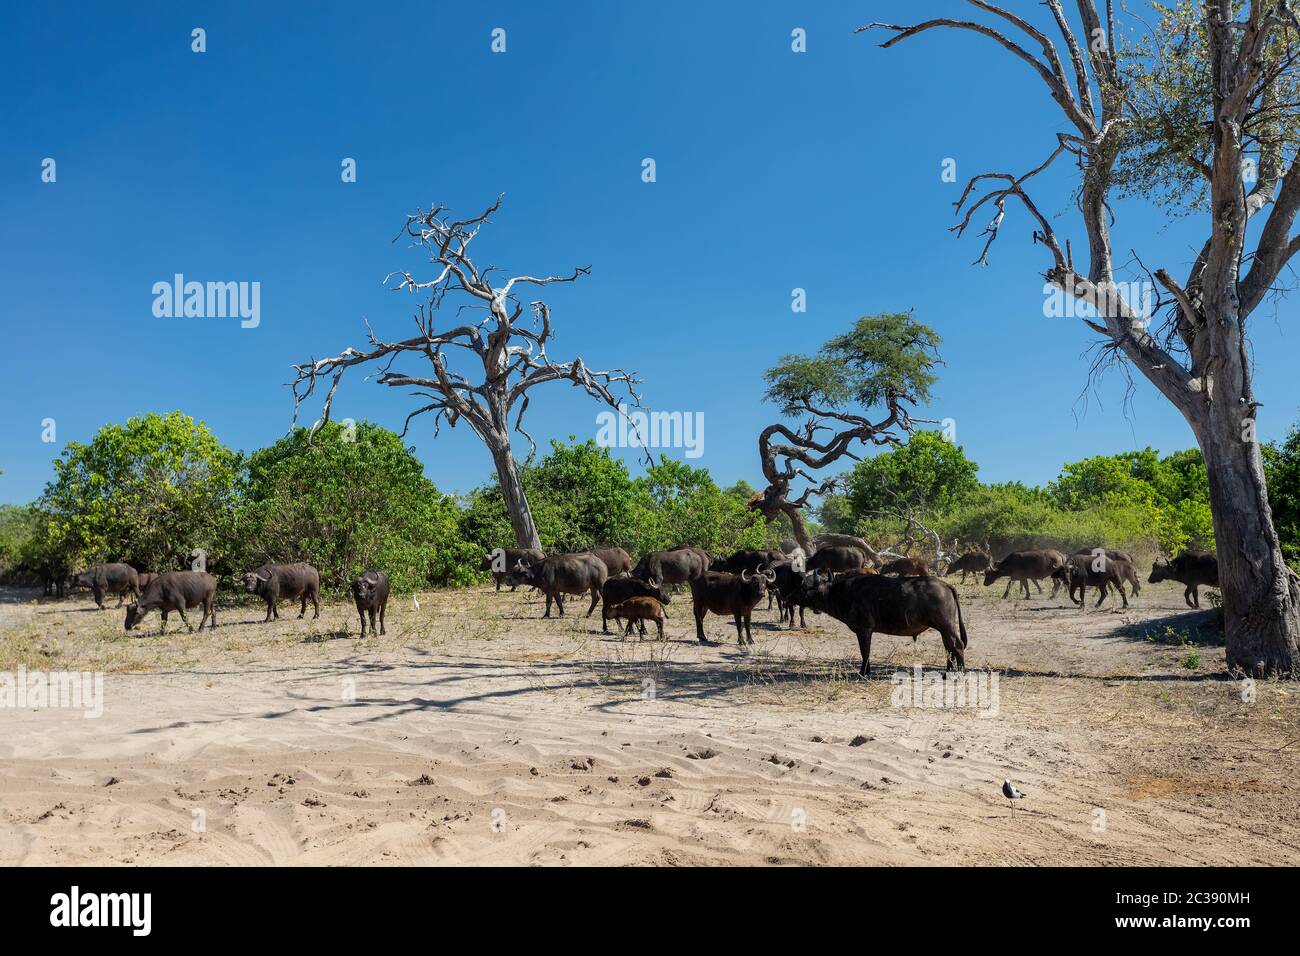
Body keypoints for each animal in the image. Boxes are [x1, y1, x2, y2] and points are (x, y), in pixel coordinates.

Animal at [799, 570, 968, 676]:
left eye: (804, 586)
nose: (792, 596)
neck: (843, 592)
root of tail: (945, 585)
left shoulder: (864, 630)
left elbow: (865, 652)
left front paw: (863, 672)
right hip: (944, 629)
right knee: (949, 647)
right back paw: (947, 671)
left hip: (946, 626)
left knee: (957, 645)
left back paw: (960, 672)